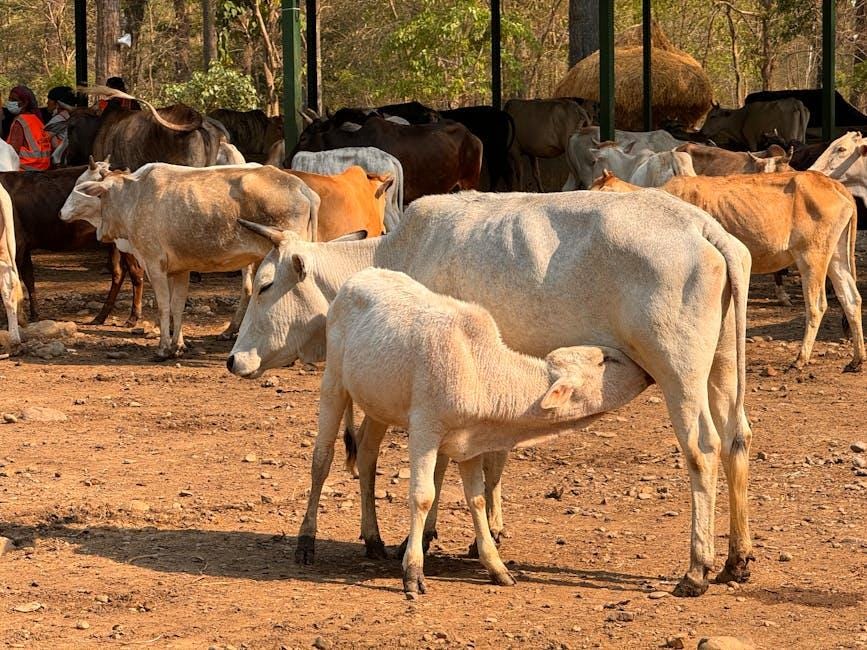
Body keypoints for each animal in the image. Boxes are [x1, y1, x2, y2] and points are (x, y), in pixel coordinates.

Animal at [59, 163, 319, 359]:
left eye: (81, 187)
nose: (61, 212)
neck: (130, 198)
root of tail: (302, 188)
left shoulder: (154, 264)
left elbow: (164, 306)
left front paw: (163, 349)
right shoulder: (179, 270)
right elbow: (177, 306)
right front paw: (179, 346)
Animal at [318, 267, 651, 597]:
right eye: (606, 360)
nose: (646, 371)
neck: (481, 371)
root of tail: (360, 275)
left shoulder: (470, 442)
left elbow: (476, 499)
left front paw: (495, 566)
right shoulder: (425, 429)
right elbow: (422, 496)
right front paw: (413, 571)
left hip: (378, 404)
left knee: (366, 456)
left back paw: (373, 539)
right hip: (334, 383)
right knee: (322, 458)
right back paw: (309, 542)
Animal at [591, 170, 864, 372]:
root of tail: (834, 184)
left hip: (812, 256)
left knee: (817, 305)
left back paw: (800, 360)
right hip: (836, 257)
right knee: (851, 299)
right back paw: (856, 360)